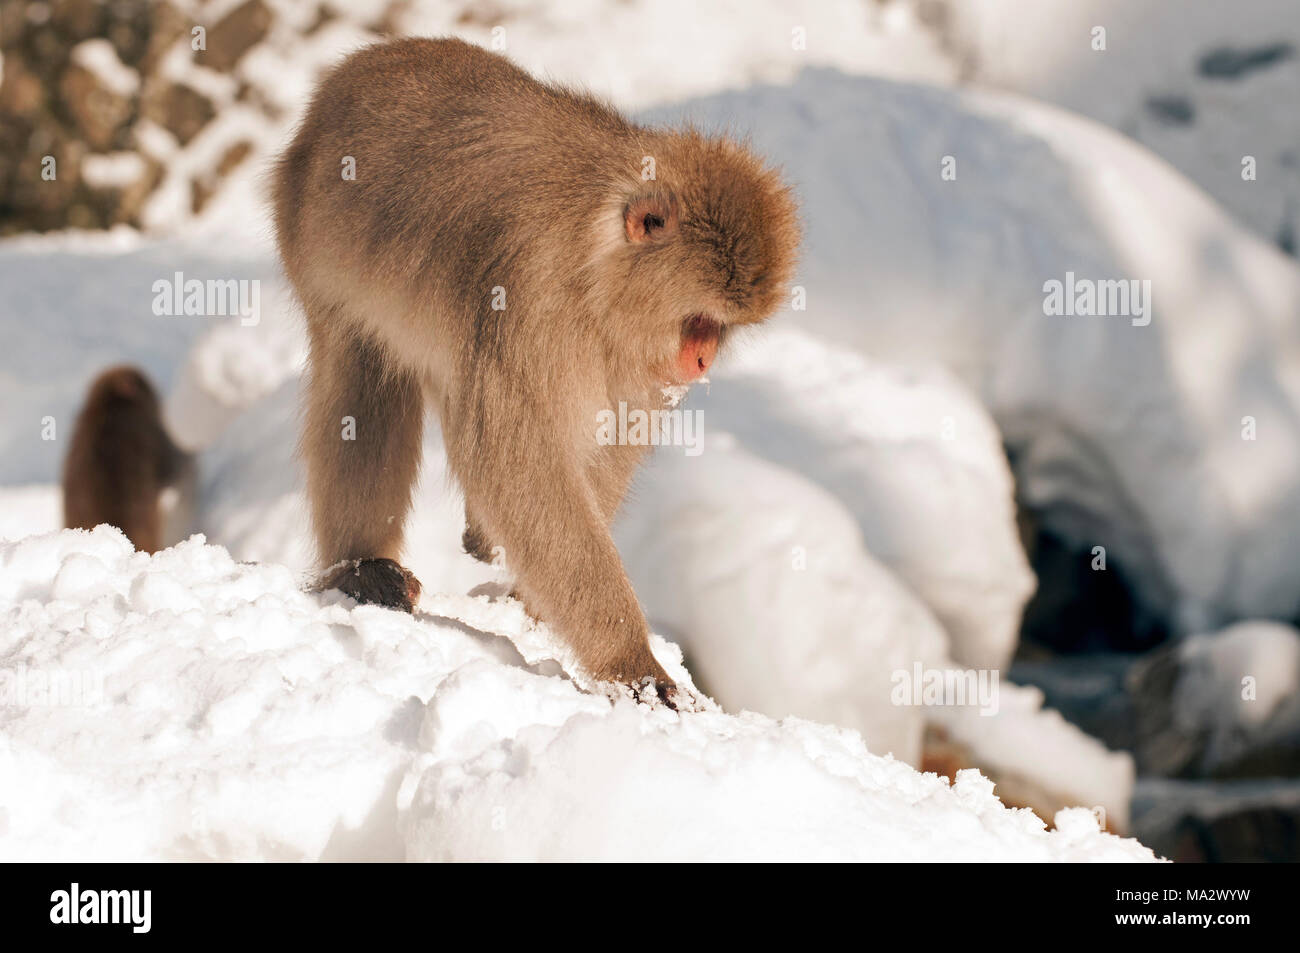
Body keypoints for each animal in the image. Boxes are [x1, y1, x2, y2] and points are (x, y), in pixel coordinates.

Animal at [273, 37, 799, 703]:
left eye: (723, 328)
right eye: (699, 320)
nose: (703, 359)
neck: (592, 253)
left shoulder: (629, 349)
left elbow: (610, 440)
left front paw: (534, 607)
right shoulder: (532, 295)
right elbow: (516, 457)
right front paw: (631, 662)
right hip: (307, 236)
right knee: (364, 378)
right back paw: (365, 568)